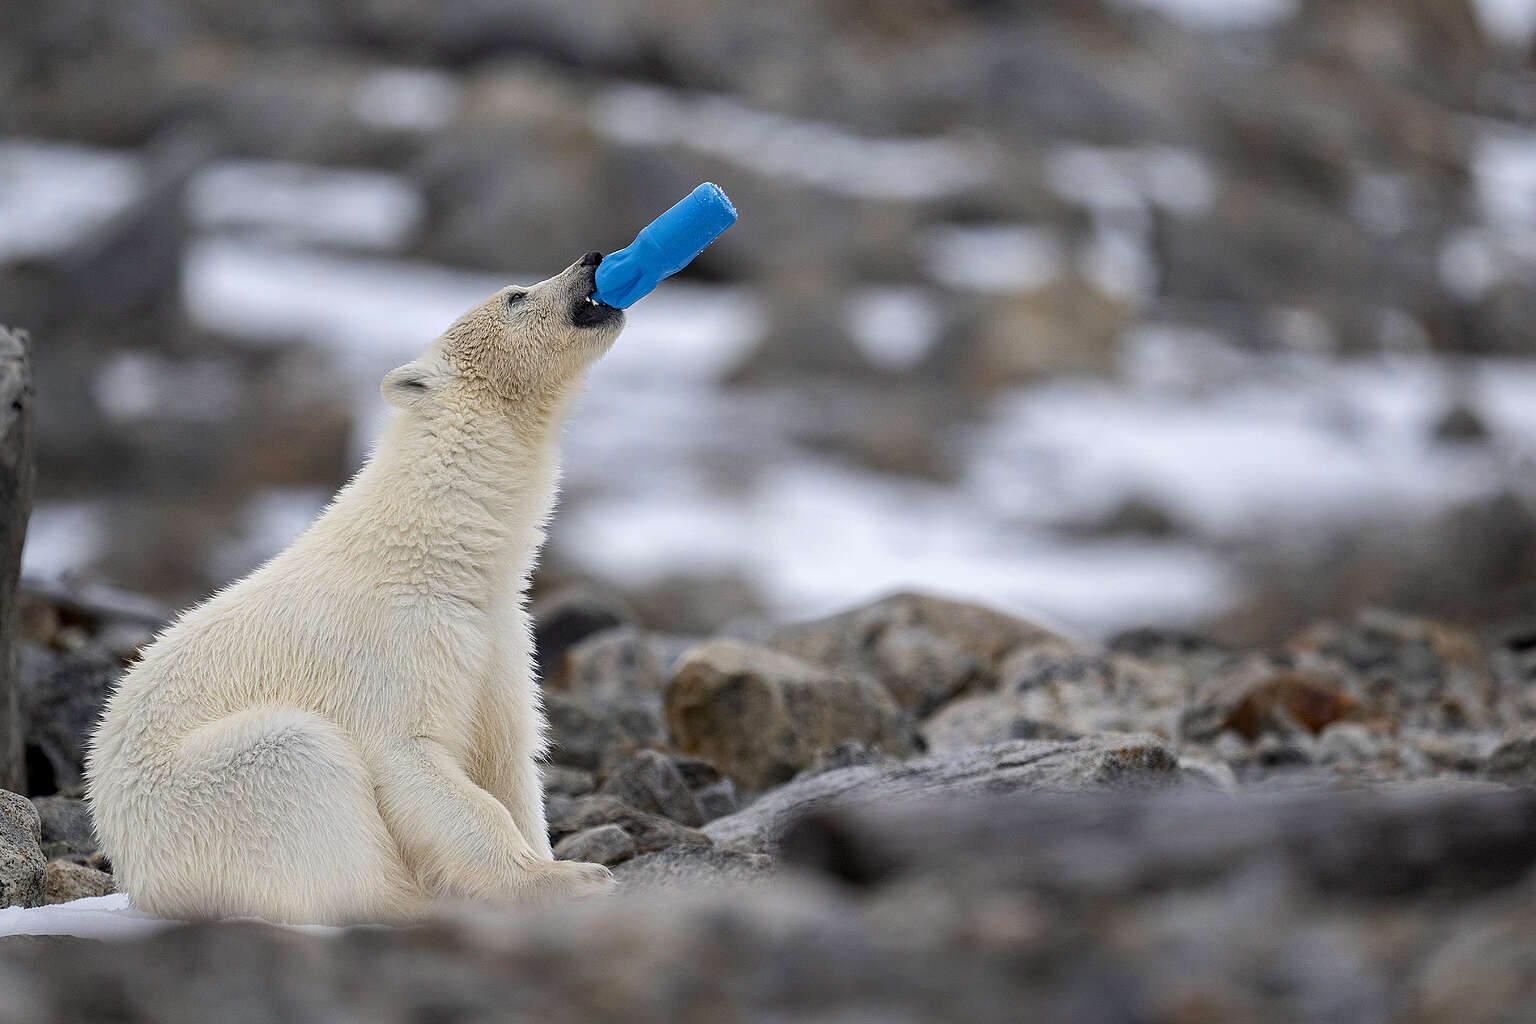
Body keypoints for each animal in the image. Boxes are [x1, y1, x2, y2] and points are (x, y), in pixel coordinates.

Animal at [87, 251, 625, 925]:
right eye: (516, 296)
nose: (593, 259)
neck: (436, 556)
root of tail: (133, 870)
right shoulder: (388, 647)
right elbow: (412, 759)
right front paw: (571, 878)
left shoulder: (497, 642)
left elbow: (508, 762)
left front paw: (555, 862)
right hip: (205, 805)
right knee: (297, 763)